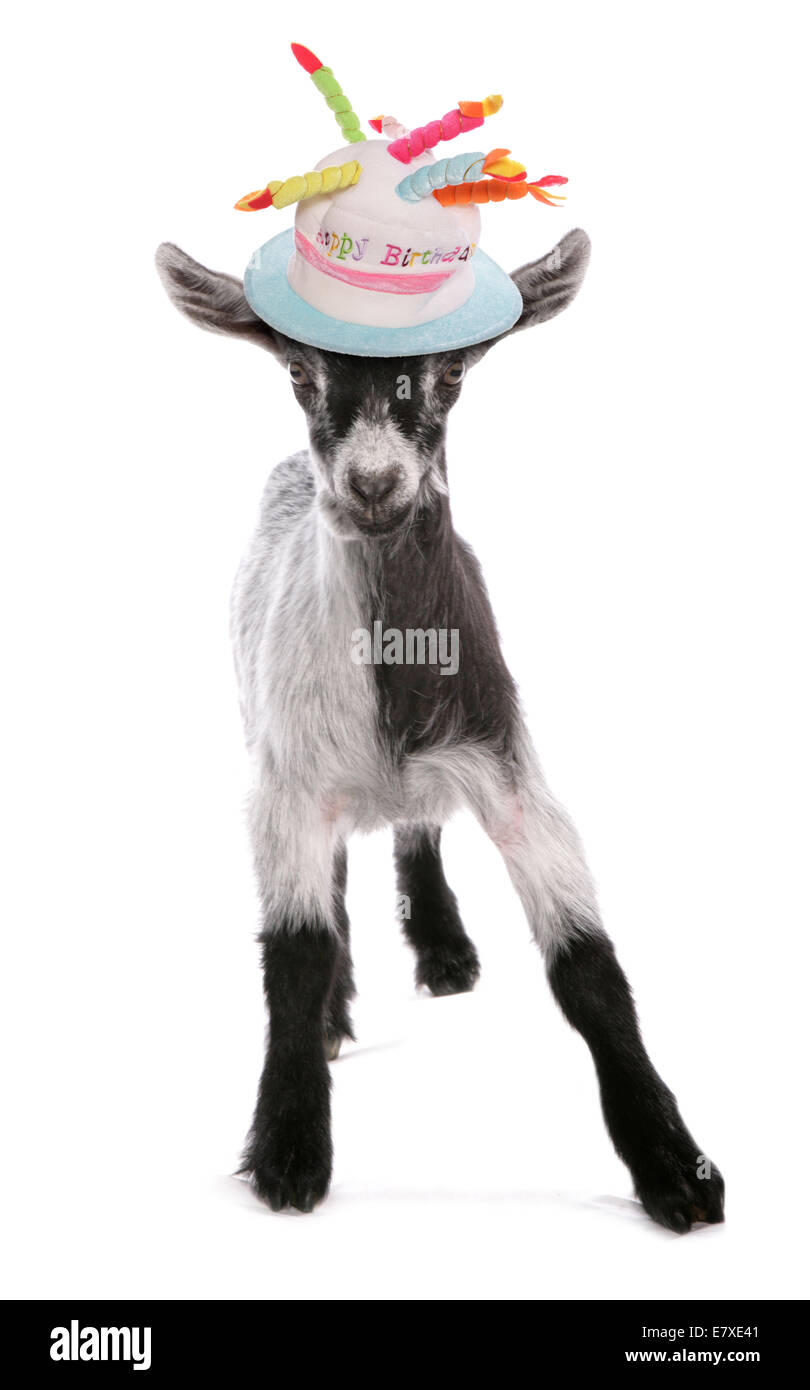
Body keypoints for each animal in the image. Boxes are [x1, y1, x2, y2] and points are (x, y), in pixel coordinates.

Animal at [156, 232, 724, 1231]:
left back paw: (444, 945)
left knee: (416, 826)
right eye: (298, 370)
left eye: (452, 370)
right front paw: (289, 1148)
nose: (373, 485)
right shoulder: (286, 781)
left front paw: (674, 1166)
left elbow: (589, 966)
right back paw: (342, 1010)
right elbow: (296, 950)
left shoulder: (509, 768)